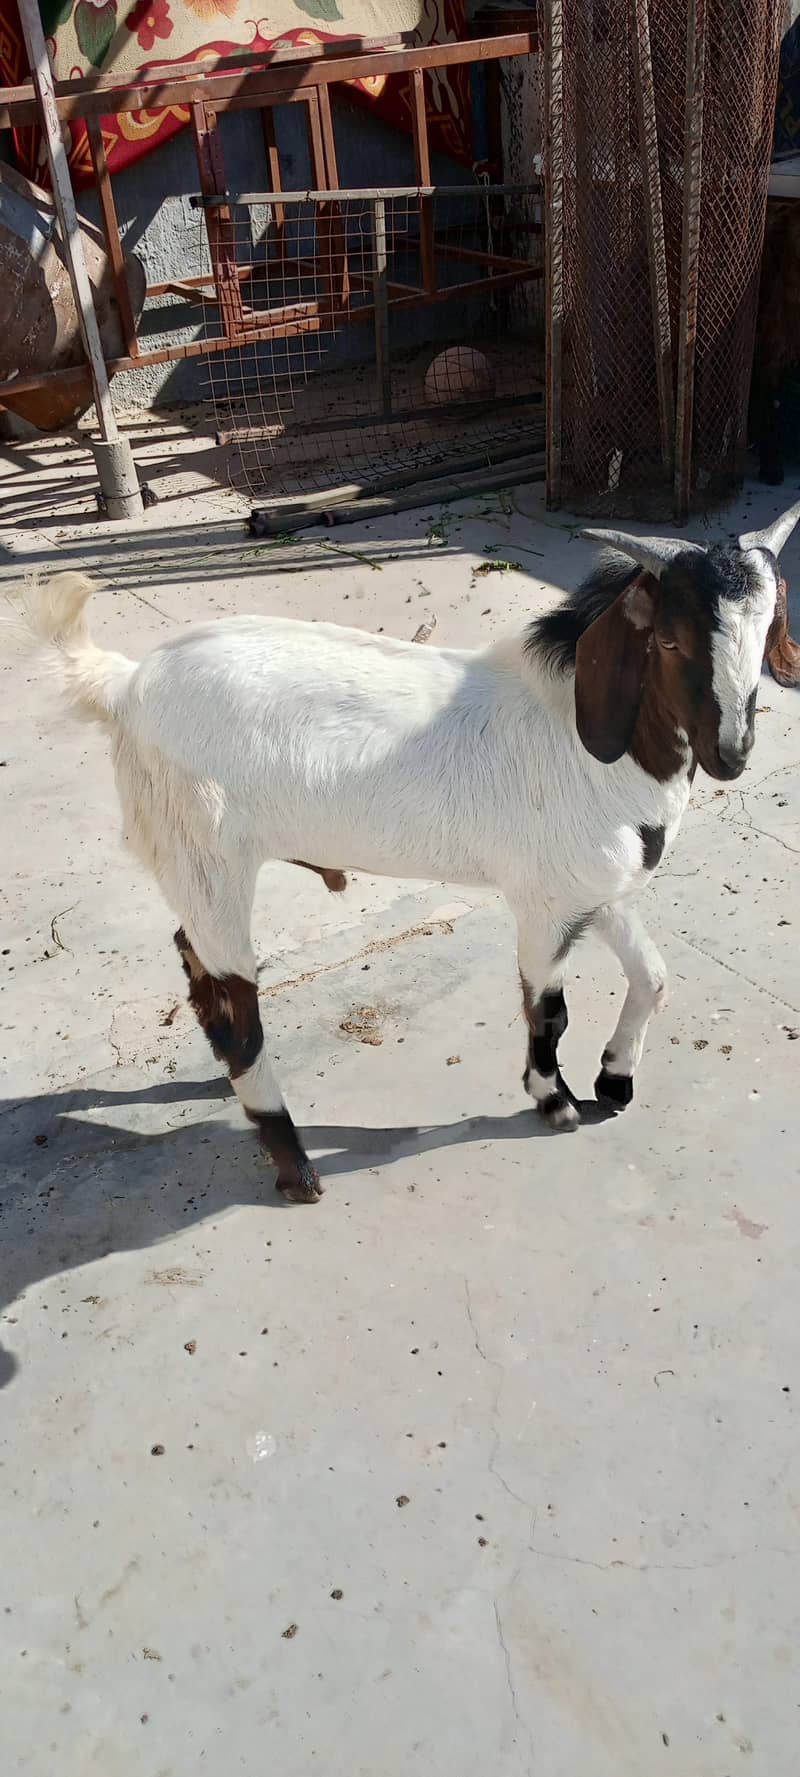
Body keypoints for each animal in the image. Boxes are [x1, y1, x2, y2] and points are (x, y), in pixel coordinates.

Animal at [14, 500, 800, 1203]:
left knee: (197, 965)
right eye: (669, 642)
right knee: (238, 1009)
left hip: (192, 867)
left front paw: (615, 1078)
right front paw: (554, 1099)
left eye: (766, 631)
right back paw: (294, 1165)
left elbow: (655, 976)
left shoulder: (592, 890)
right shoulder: (544, 904)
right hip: (207, 858)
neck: (580, 737)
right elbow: (547, 1010)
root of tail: (123, 684)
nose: (732, 754)